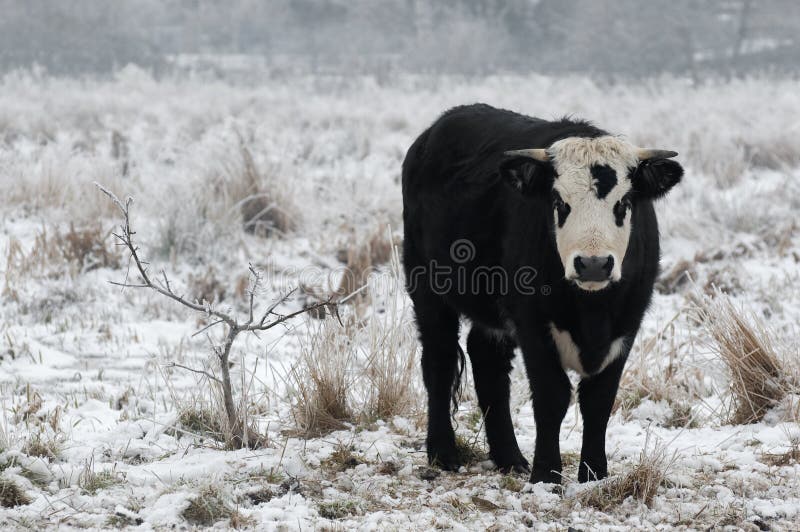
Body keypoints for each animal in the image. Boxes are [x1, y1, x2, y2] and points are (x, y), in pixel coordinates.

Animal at [401, 103, 682, 484]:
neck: (591, 311)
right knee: (440, 361)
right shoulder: (532, 322)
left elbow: (599, 400)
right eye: (558, 201)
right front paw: (546, 475)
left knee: (487, 361)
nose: (593, 264)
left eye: (624, 202)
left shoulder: (627, 323)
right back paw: (443, 452)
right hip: (427, 288)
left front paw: (594, 474)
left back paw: (509, 457)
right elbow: (552, 396)